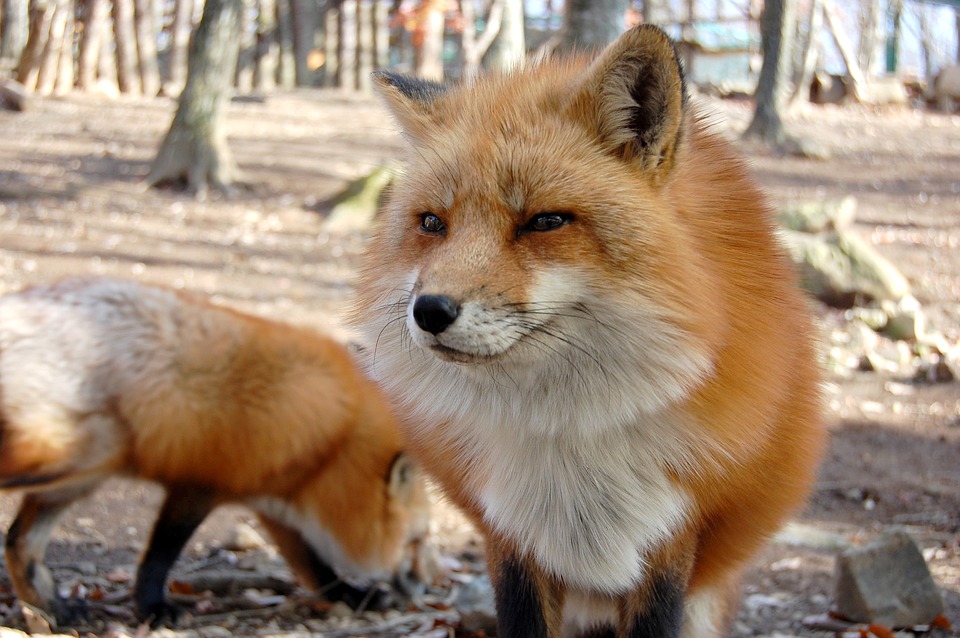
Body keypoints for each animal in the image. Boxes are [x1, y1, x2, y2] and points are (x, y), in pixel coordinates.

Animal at [0, 276, 432, 626]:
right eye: (415, 542)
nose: (425, 587)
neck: (332, 444)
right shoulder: (200, 484)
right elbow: (158, 557)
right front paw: (154, 609)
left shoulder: (273, 503)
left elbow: (318, 570)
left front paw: (353, 596)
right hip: (85, 451)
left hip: (82, 476)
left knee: (19, 543)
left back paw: (52, 610)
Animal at [351, 24, 827, 638]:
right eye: (433, 223)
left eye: (545, 221)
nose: (429, 311)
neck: (566, 435)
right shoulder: (512, 537)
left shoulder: (670, 538)